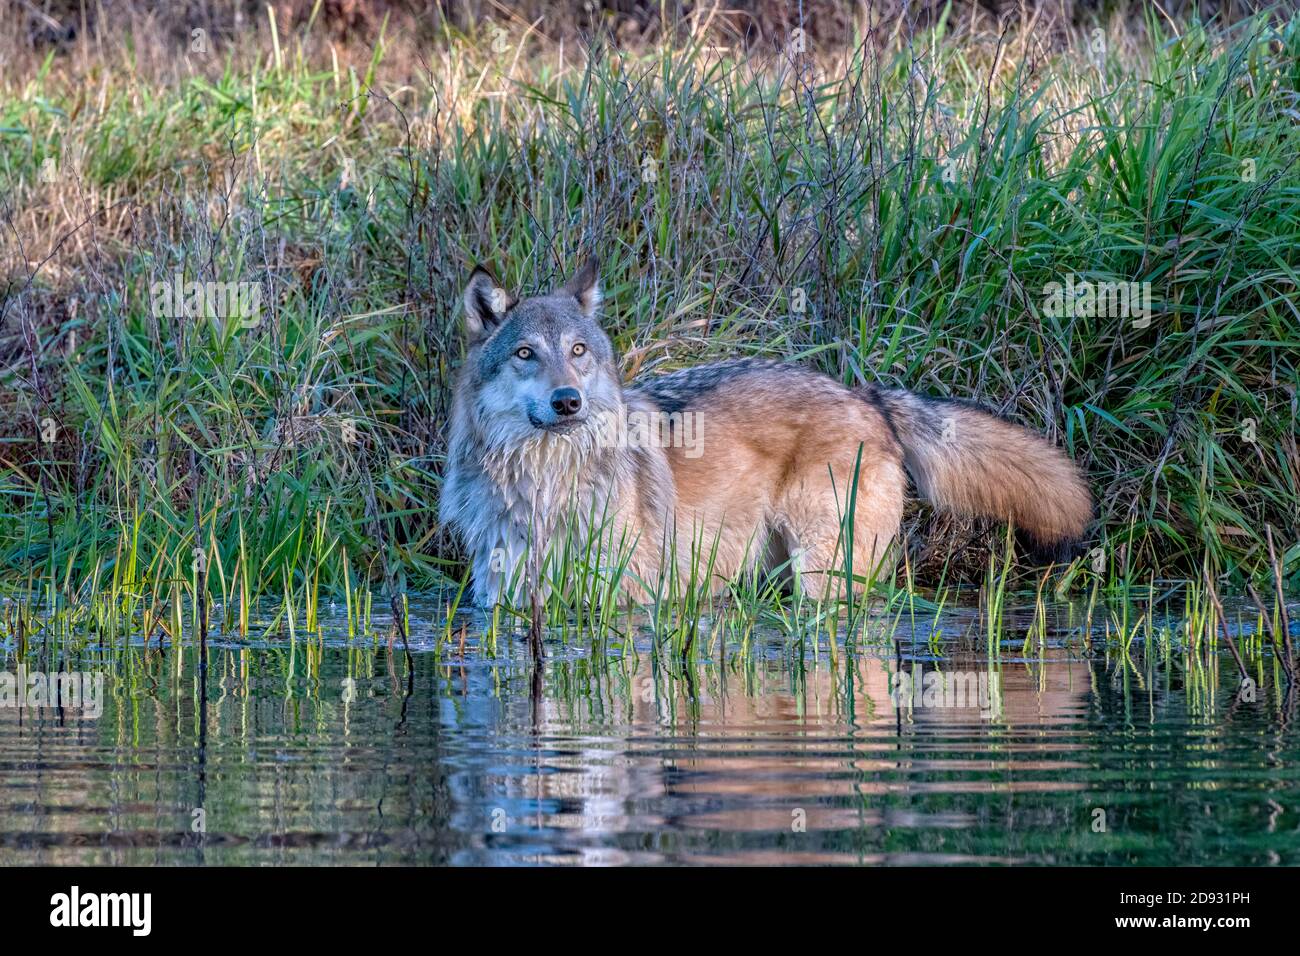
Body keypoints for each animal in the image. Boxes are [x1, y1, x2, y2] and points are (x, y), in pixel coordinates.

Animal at [440, 260, 1092, 606]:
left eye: (578, 352)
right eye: (525, 353)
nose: (568, 400)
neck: (544, 483)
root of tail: (866, 396)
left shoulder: (627, 604)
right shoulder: (507, 605)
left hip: (823, 575)